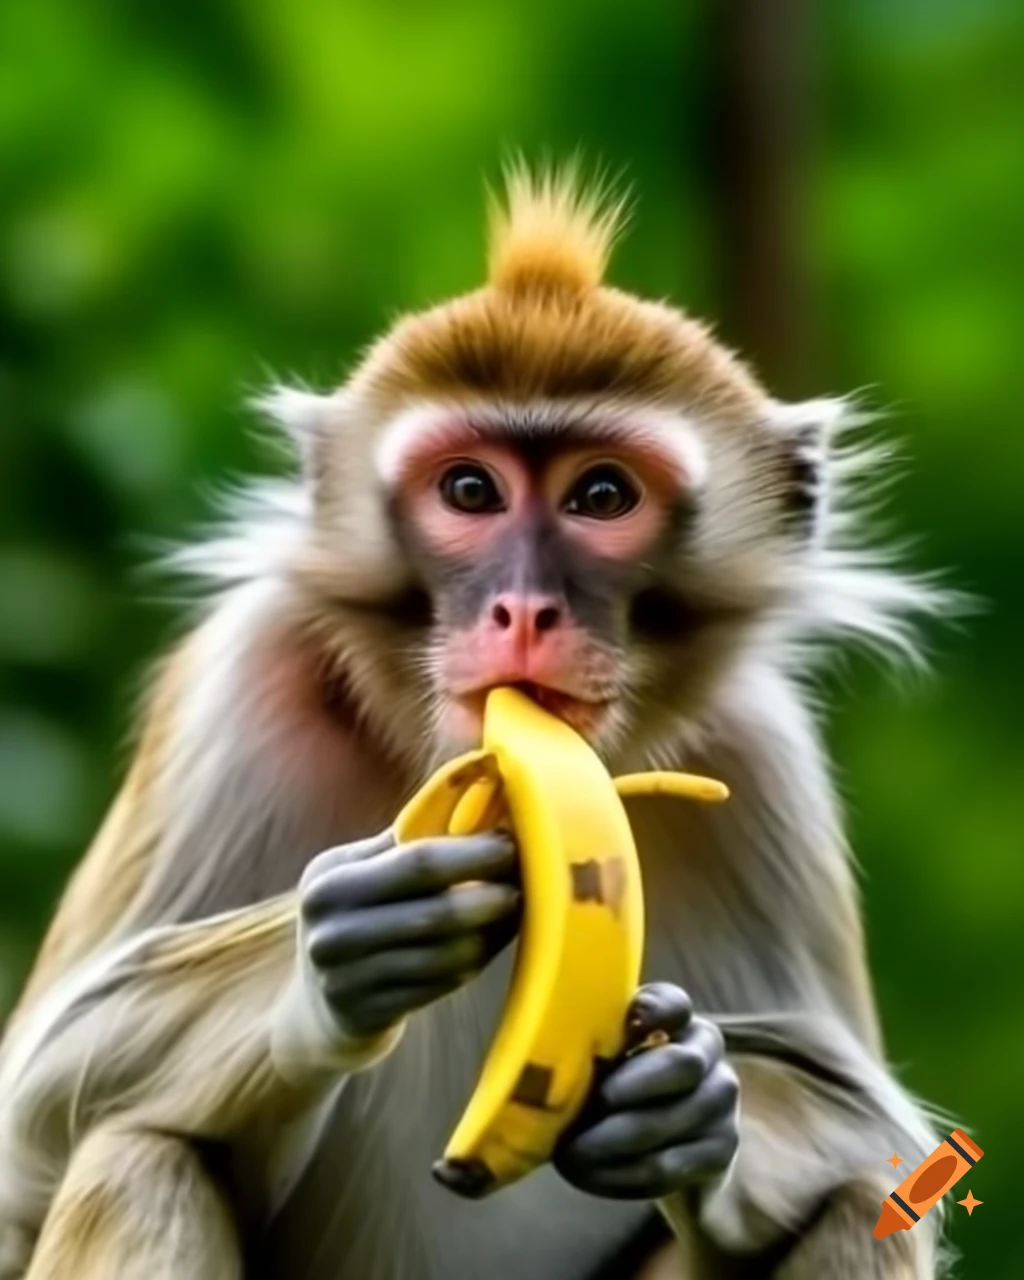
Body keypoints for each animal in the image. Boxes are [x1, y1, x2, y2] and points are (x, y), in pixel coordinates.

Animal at [0, 165, 951, 1280]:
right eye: (469, 489)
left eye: (602, 494)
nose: (524, 611)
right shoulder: (241, 687)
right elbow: (29, 1125)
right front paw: (335, 954)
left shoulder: (763, 763)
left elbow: (874, 1140)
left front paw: (690, 1105)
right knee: (139, 1153)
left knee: (856, 1202)